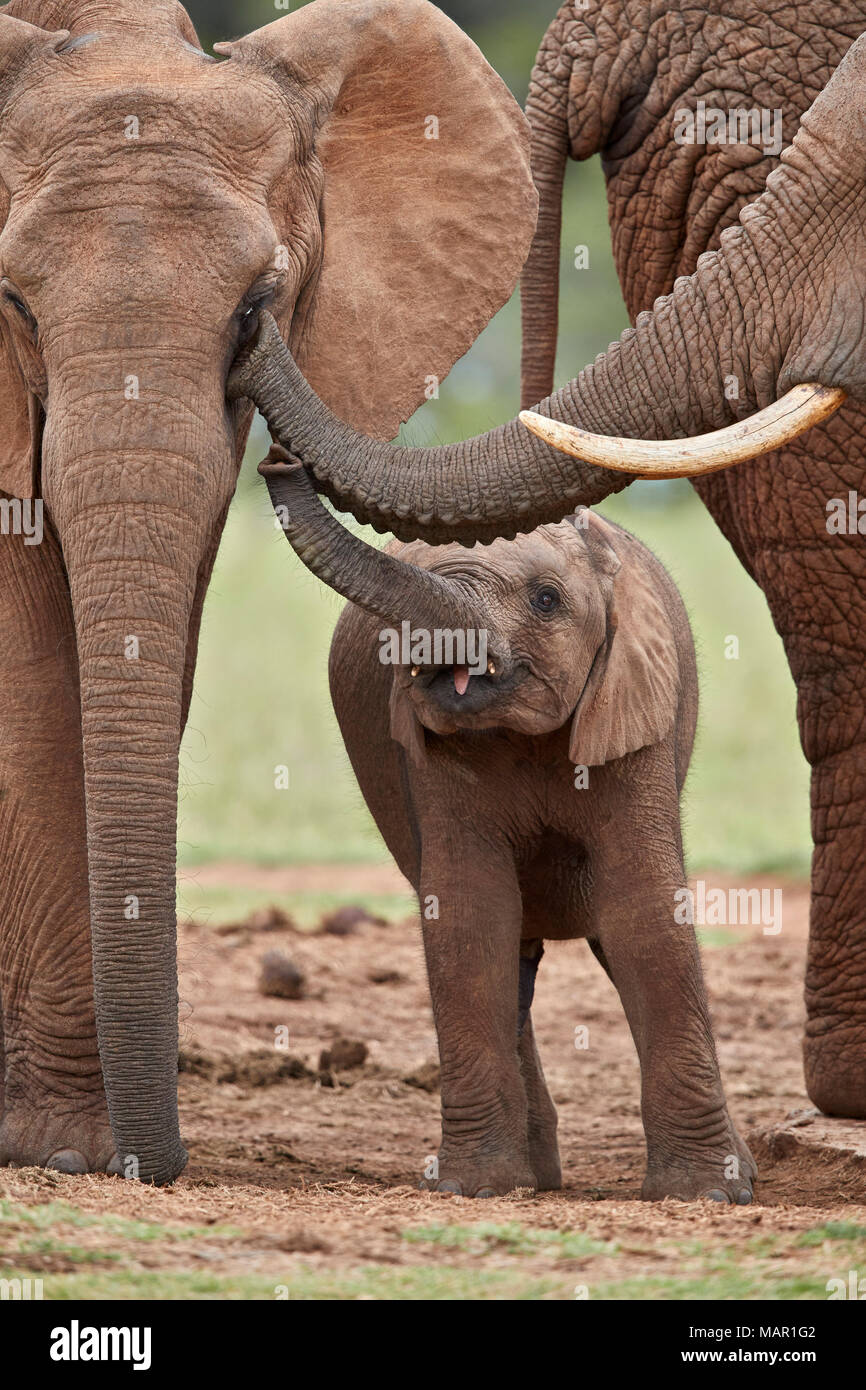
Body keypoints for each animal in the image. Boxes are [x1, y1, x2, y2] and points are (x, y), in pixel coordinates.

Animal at [256, 449, 756, 1202]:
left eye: (547, 600)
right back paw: (533, 1179)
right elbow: (470, 913)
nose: (276, 459)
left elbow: (643, 908)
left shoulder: (633, 706)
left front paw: (704, 1194)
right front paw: (474, 1189)